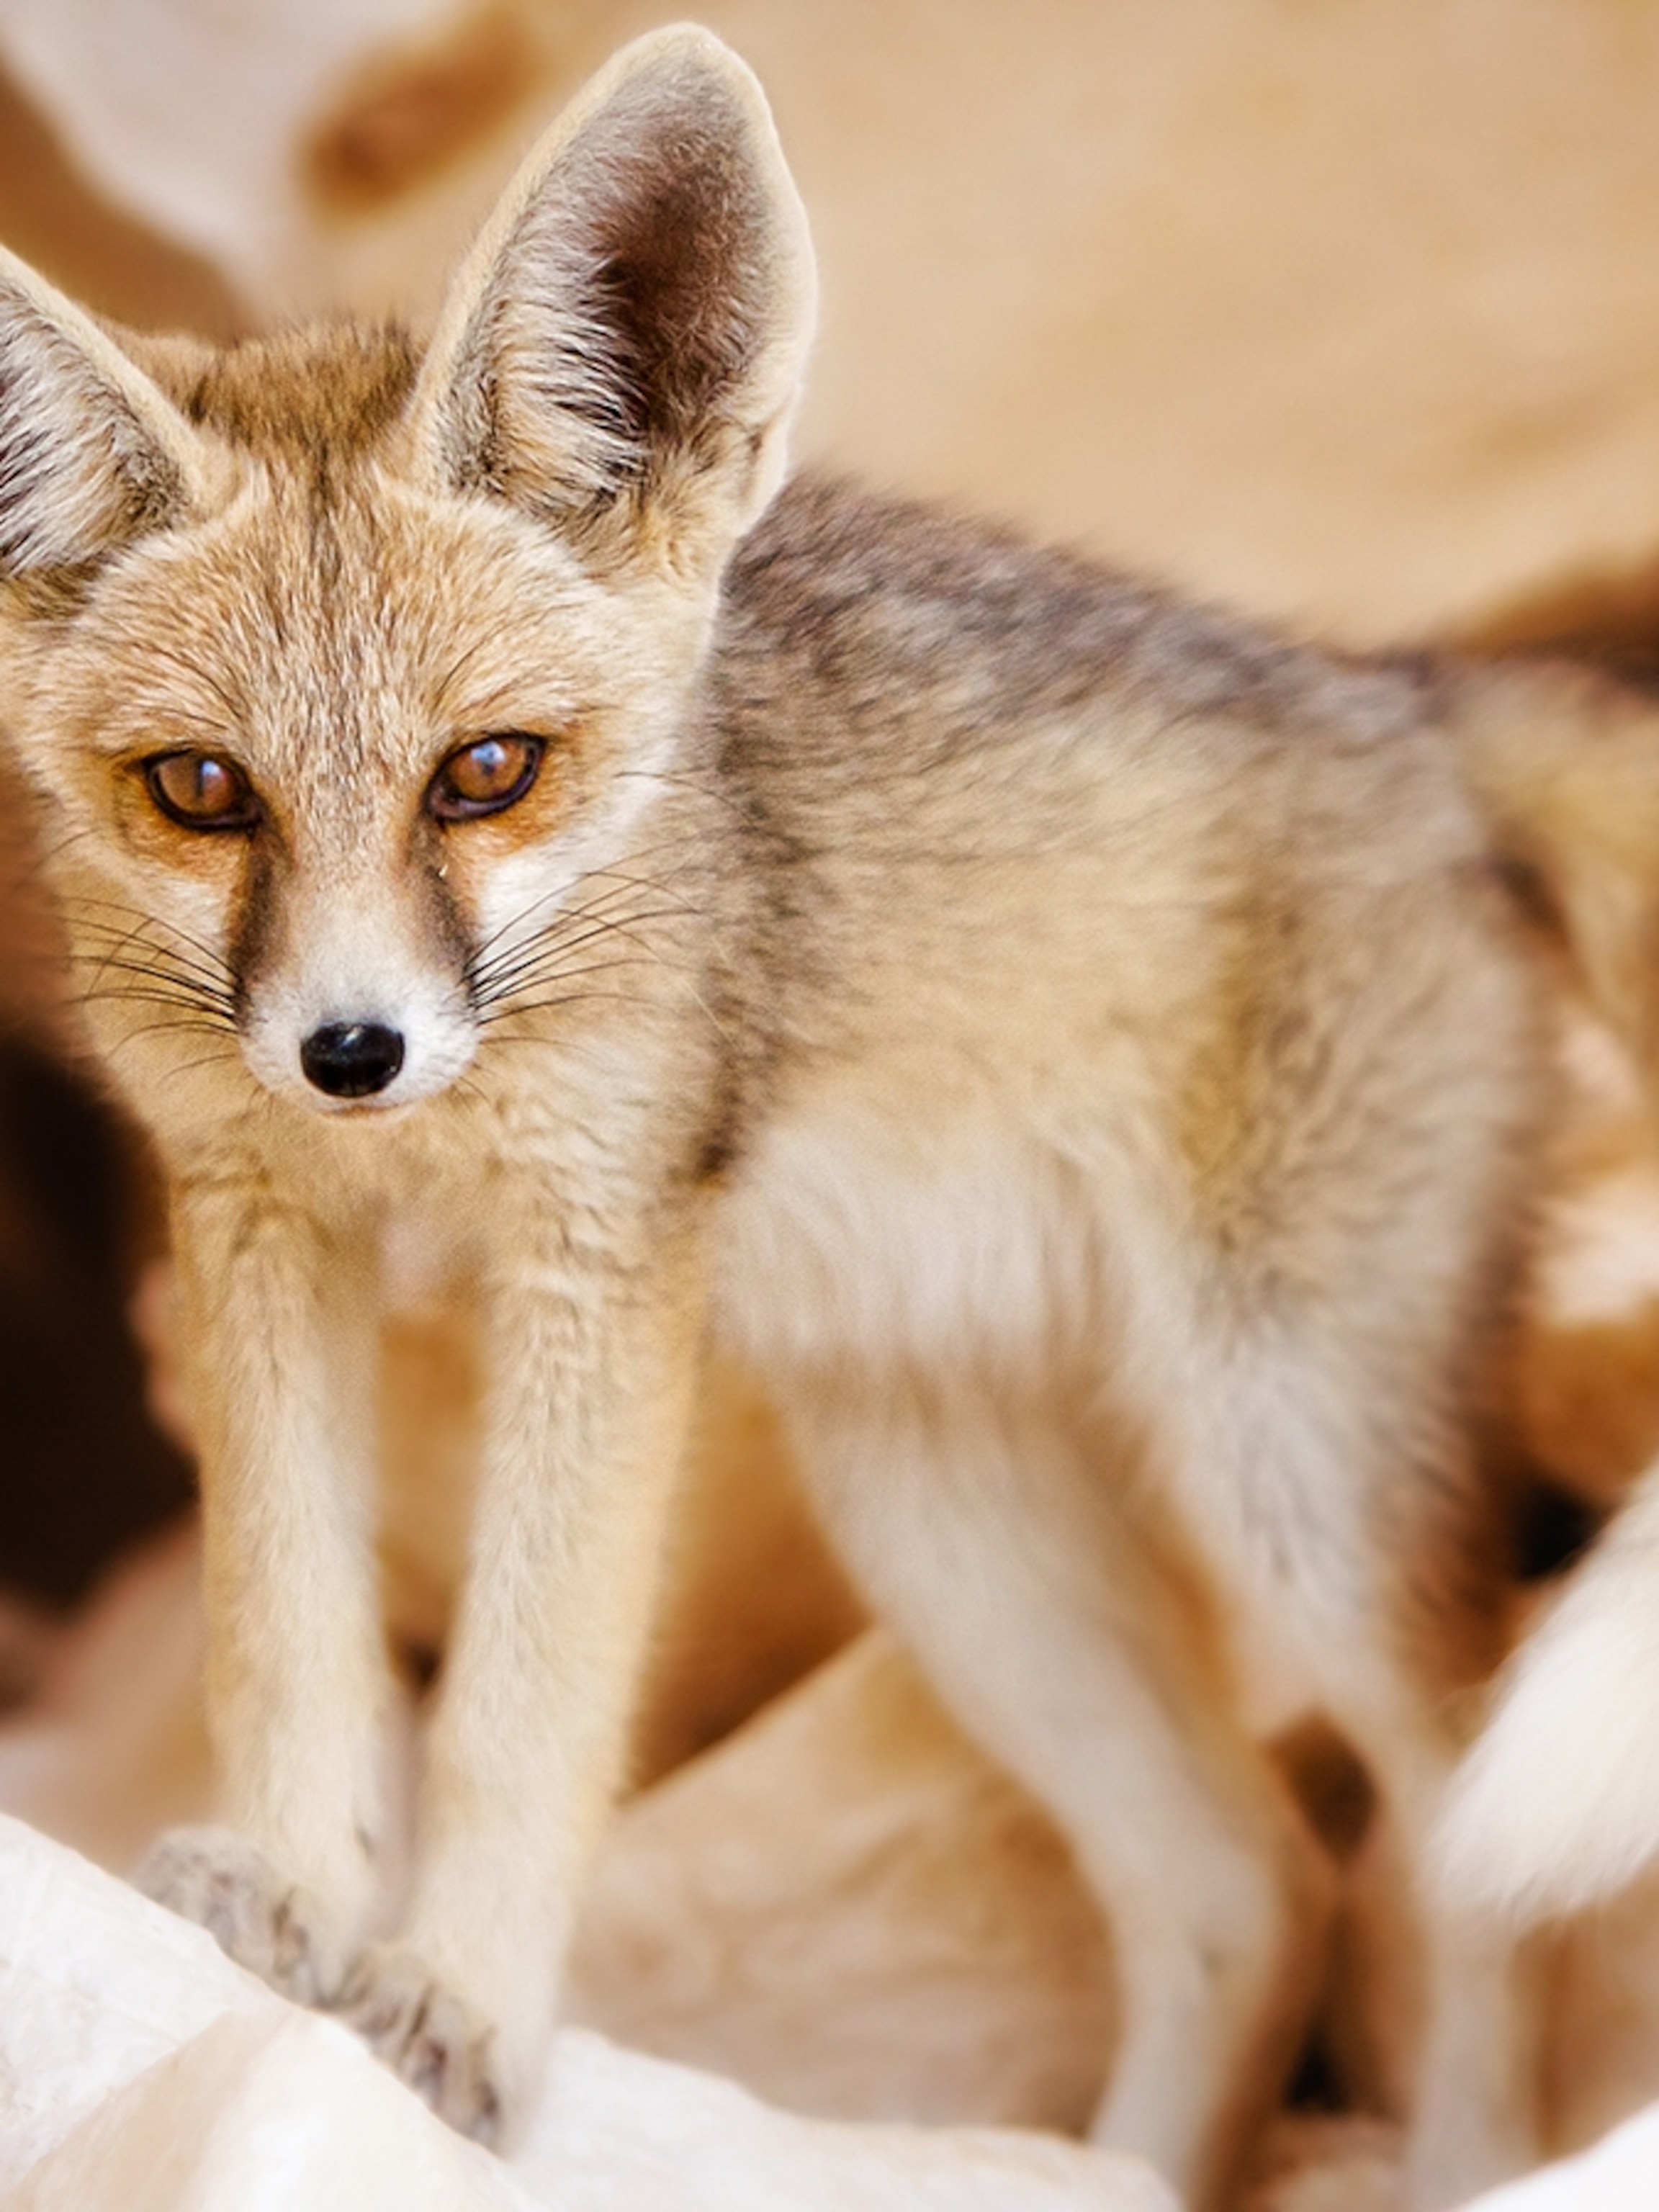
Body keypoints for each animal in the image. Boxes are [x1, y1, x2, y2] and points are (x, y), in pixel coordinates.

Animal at [6, 22, 1659, 2211]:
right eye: (200, 791)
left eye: (487, 772)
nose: (352, 1051)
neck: (425, 1144)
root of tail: (1402, 694)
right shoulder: (257, 1218)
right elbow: (282, 1629)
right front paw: (283, 1898)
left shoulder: (599, 1264)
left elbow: (525, 1703)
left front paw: (455, 2009)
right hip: (949, 1521)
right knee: (1248, 1883)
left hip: (1290, 1469)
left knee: (1444, 1844)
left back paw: (1466, 2155)